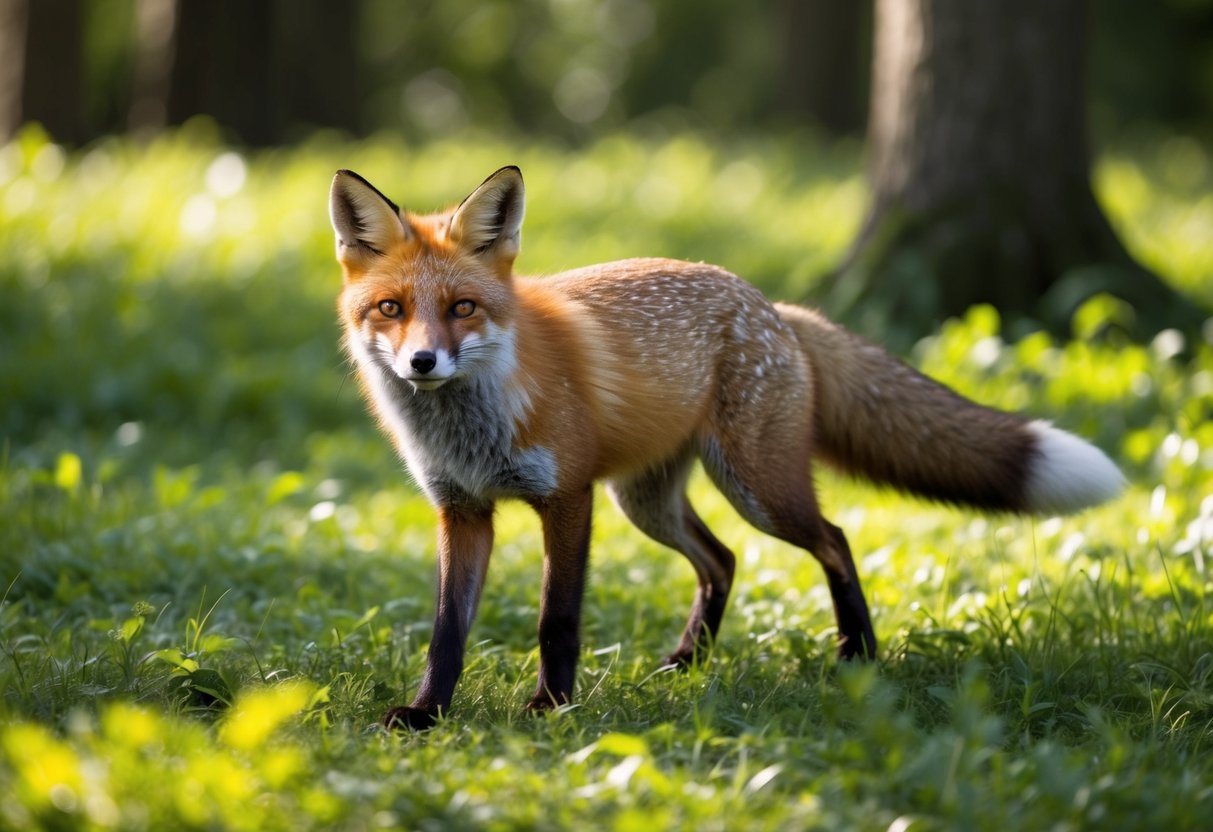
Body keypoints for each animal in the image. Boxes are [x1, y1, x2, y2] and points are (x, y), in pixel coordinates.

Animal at [328, 165, 1124, 730]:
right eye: (391, 309)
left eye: (462, 307)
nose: (422, 362)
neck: (473, 423)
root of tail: (775, 307)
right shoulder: (461, 509)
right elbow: (445, 630)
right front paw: (426, 714)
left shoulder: (568, 497)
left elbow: (557, 617)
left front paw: (551, 708)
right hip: (648, 501)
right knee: (723, 561)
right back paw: (686, 663)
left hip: (755, 487)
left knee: (833, 539)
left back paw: (857, 656)